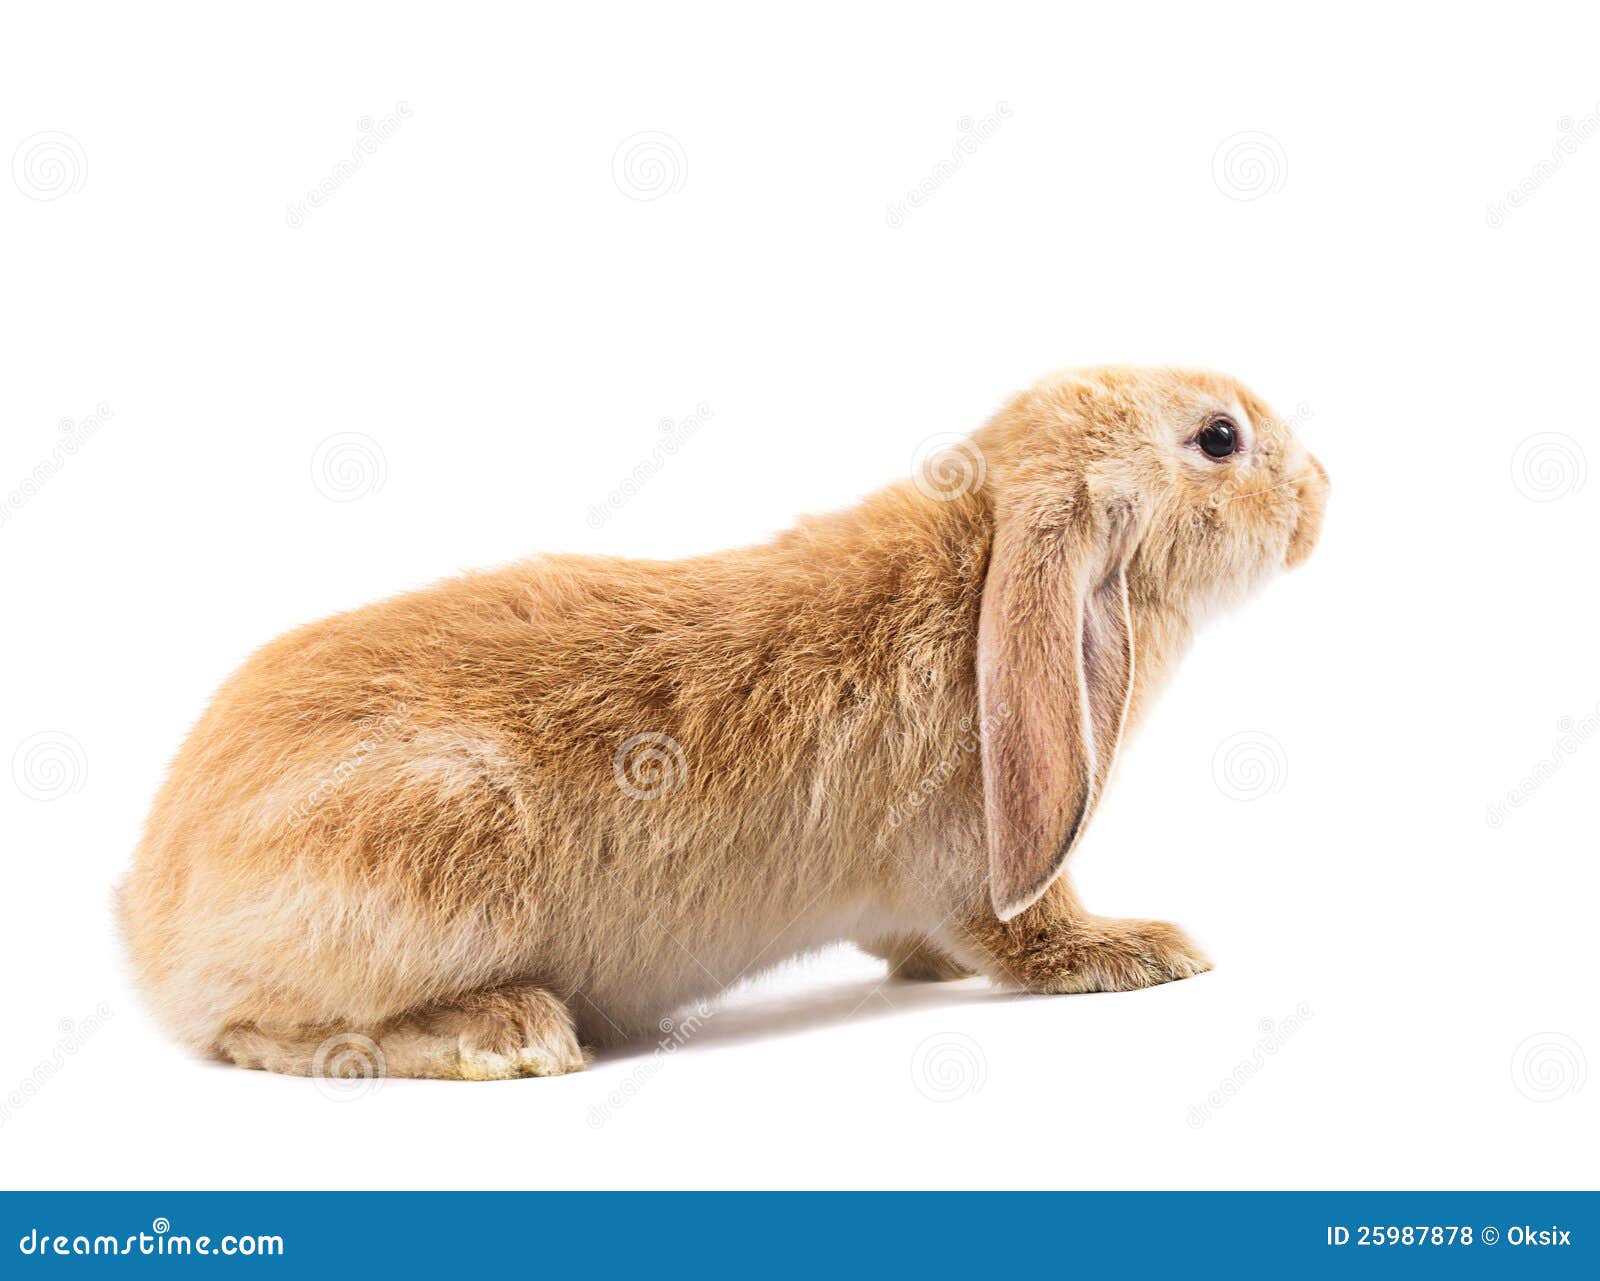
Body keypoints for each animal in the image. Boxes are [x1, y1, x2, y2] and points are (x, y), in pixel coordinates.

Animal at [117, 365, 1328, 1080]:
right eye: (1219, 438)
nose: (1320, 496)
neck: (981, 557)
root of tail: (153, 925)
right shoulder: (972, 857)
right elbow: (1024, 931)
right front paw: (1144, 950)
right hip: (439, 845)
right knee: (259, 1031)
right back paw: (509, 1032)